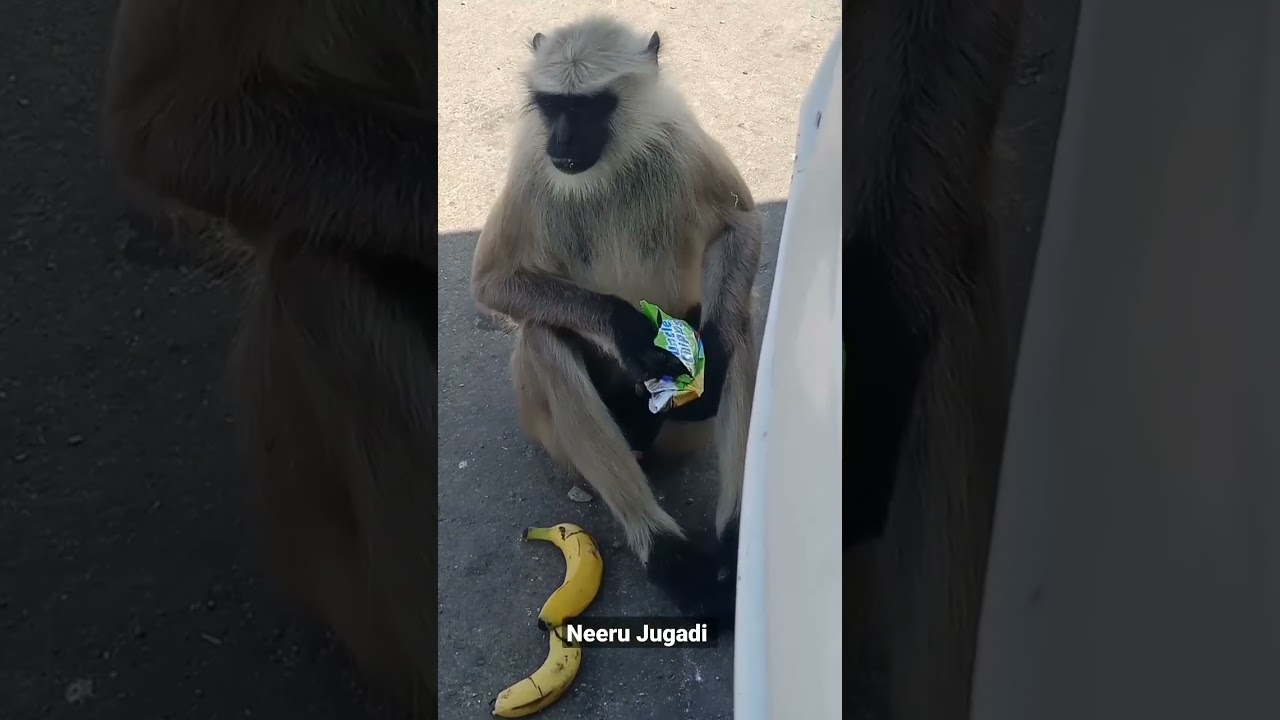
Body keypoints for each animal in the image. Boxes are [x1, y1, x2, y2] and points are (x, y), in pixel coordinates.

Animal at [470, 16, 762, 623]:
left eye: (590, 107)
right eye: (552, 105)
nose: (561, 141)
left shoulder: (680, 138)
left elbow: (741, 226)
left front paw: (711, 360)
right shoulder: (531, 164)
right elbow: (490, 281)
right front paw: (629, 331)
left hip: (681, 434)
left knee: (738, 317)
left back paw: (733, 543)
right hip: (555, 436)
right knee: (543, 336)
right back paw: (667, 553)